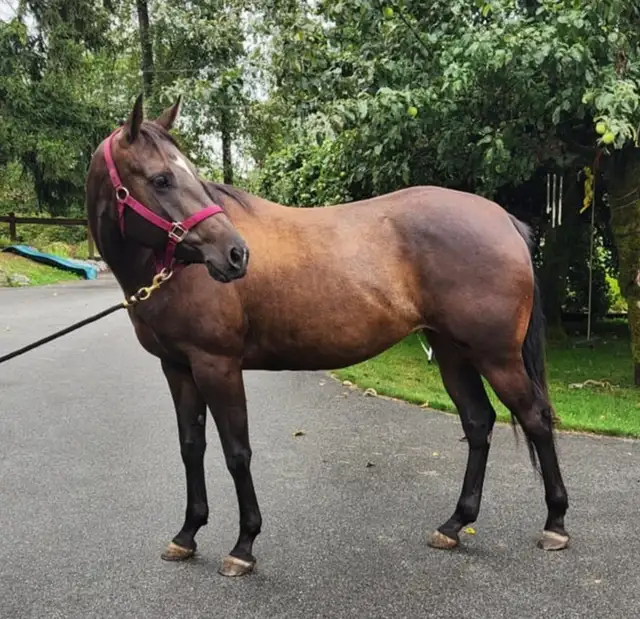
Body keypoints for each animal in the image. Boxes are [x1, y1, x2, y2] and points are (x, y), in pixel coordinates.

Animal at [85, 94, 569, 577]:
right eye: (161, 179)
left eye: (186, 175)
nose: (235, 254)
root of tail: (504, 221)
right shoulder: (177, 367)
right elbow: (192, 447)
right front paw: (187, 534)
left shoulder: (216, 365)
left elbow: (237, 452)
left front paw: (244, 544)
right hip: (453, 352)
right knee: (478, 422)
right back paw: (454, 524)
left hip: (497, 356)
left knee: (535, 418)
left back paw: (556, 523)